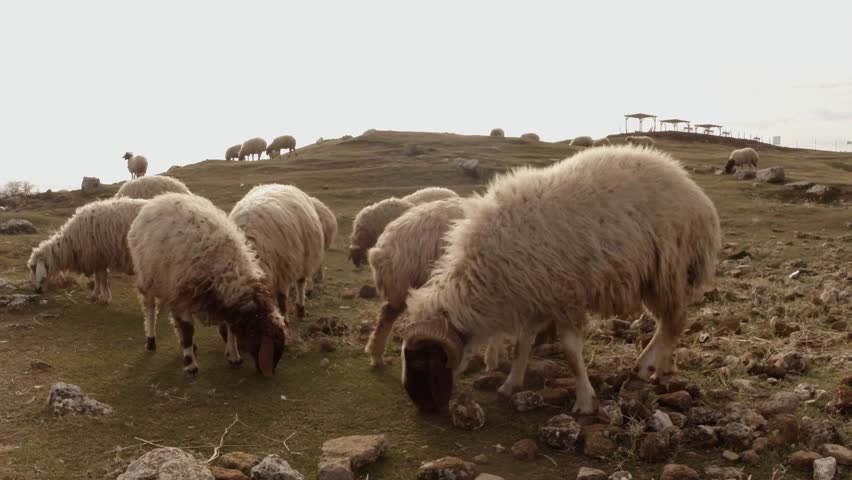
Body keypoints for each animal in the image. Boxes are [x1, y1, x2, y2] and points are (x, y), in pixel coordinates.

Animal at [128, 193, 286, 376]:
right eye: (272, 348)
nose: (268, 372)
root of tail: (159, 198)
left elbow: (230, 328)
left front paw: (234, 356)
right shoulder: (184, 297)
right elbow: (188, 330)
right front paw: (190, 365)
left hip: (168, 286)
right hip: (148, 280)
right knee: (150, 311)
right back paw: (151, 340)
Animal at [229, 185, 324, 320]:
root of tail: (283, 185)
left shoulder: (282, 270)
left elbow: (282, 299)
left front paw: (284, 318)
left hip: (304, 258)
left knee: (300, 283)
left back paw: (300, 309)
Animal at [401, 145, 721, 414]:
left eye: (420, 359)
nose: (424, 407)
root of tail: (697, 194)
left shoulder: (566, 296)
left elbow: (570, 353)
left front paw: (585, 401)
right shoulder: (535, 295)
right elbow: (523, 342)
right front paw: (511, 383)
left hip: (669, 269)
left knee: (674, 322)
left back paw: (649, 371)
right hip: (654, 278)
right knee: (667, 323)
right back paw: (656, 367)